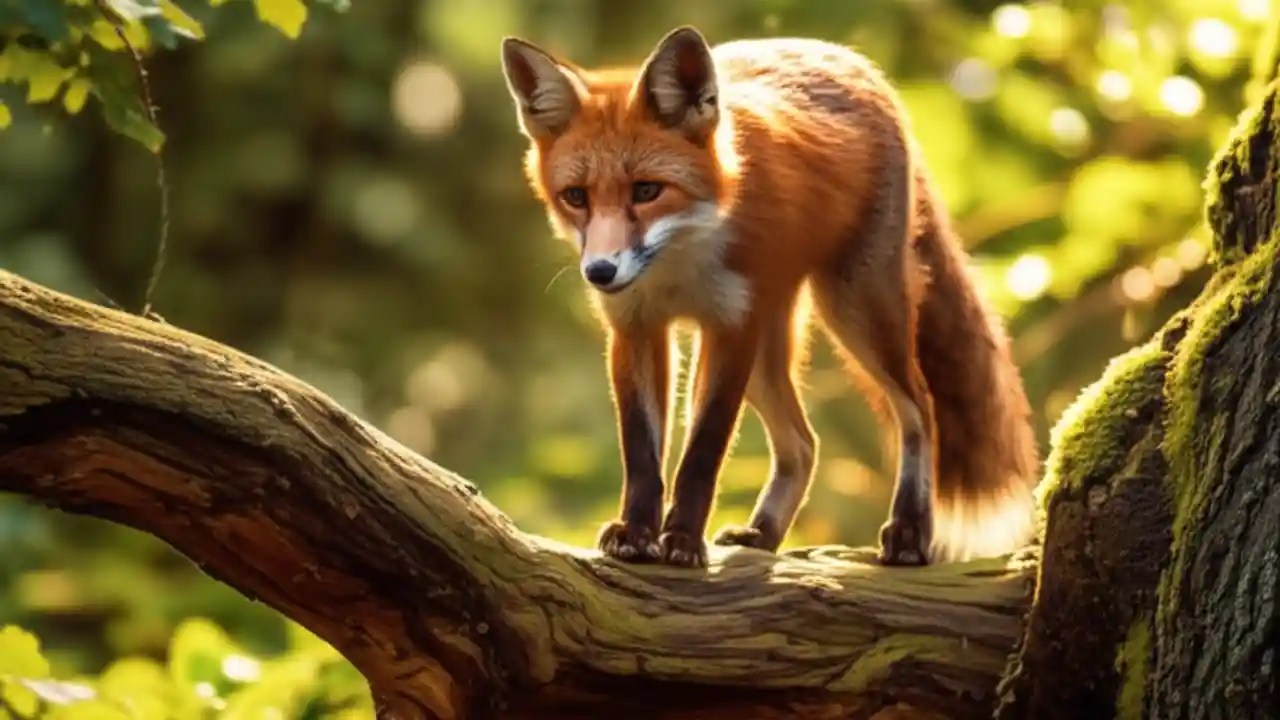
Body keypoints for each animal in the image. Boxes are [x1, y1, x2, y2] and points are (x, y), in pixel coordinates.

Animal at [499, 26, 1040, 567]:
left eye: (647, 190)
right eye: (576, 197)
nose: (600, 271)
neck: (678, 266)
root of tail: (846, 57)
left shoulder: (731, 326)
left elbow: (704, 451)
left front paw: (682, 539)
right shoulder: (635, 328)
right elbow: (641, 454)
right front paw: (637, 532)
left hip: (857, 313)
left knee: (920, 407)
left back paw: (910, 532)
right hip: (770, 354)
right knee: (804, 443)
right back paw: (763, 533)